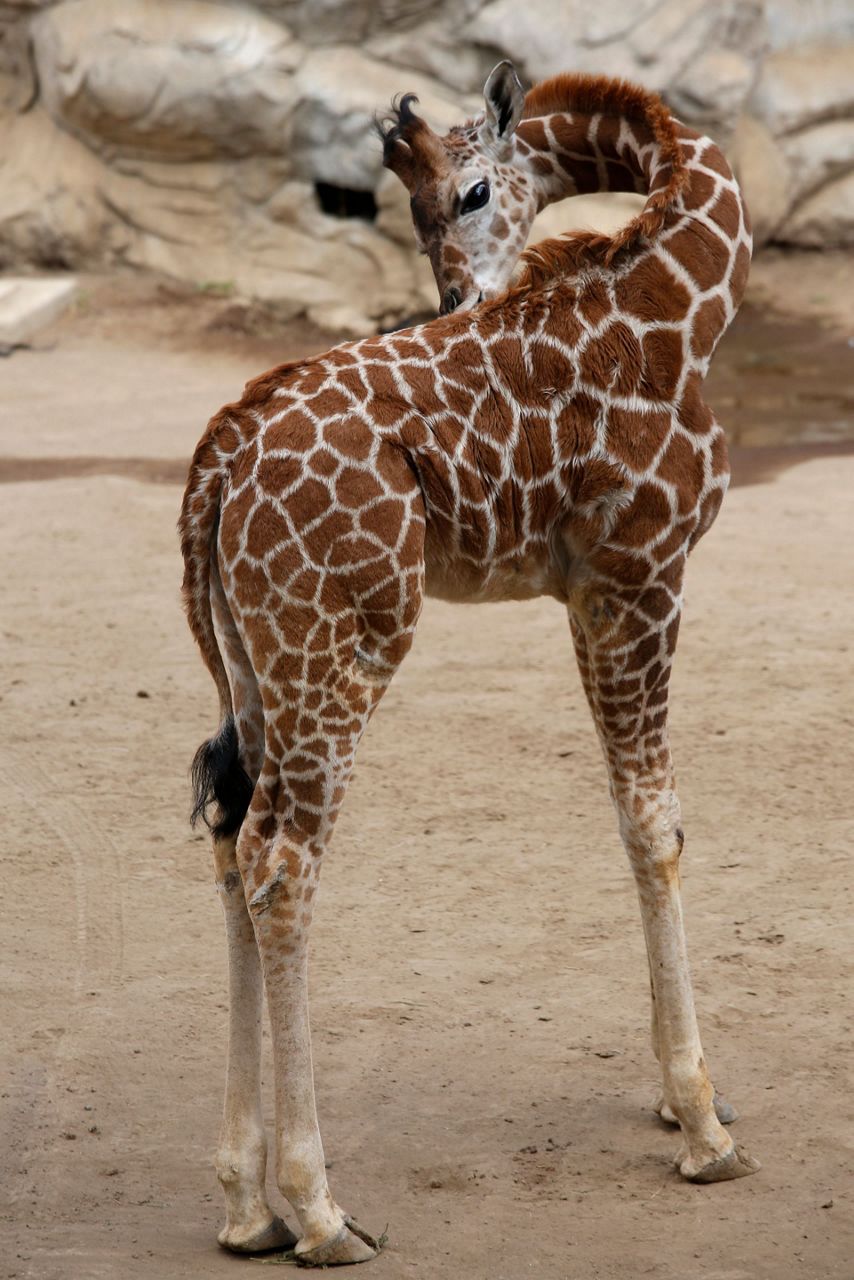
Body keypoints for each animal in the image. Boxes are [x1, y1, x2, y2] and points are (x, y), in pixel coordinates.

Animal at [180, 62, 758, 1267]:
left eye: (473, 189)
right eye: (416, 207)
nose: (455, 300)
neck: (684, 302)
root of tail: (217, 460)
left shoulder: (586, 592)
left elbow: (627, 817)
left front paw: (677, 1096)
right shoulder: (641, 572)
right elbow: (658, 824)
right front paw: (702, 1122)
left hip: (250, 663)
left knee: (227, 836)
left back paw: (245, 1205)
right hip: (342, 642)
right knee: (281, 862)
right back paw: (318, 1209)